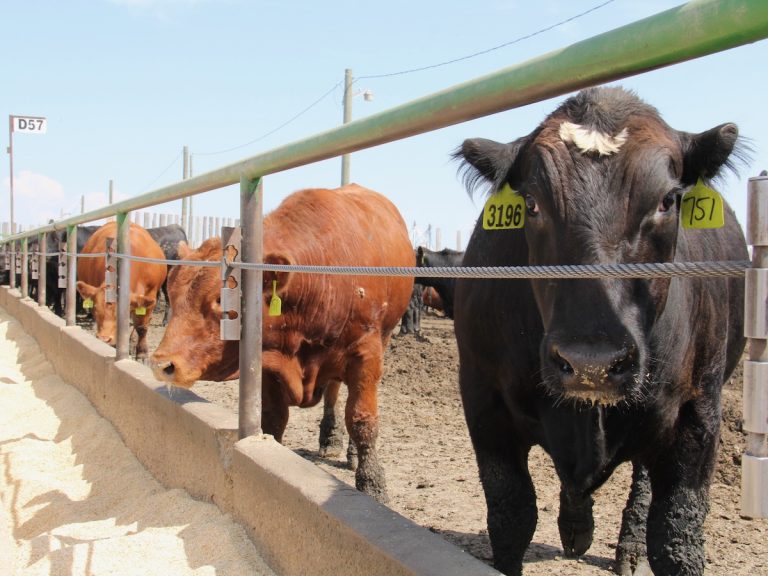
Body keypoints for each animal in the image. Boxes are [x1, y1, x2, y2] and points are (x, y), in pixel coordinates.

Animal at [75, 221, 167, 361]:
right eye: (95, 309)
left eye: (120, 314)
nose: (104, 339)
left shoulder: (150, 296)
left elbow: (142, 327)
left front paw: (142, 353)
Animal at [150, 184, 414, 503]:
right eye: (173, 294)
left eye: (221, 301)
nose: (162, 364)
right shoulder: (269, 362)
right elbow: (274, 418)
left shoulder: (366, 352)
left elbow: (362, 419)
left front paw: (372, 483)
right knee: (332, 394)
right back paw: (330, 437)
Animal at [452, 87, 747, 576]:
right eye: (531, 204)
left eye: (668, 201)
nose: (592, 362)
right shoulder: (483, 400)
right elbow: (511, 516)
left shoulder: (699, 411)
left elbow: (677, 536)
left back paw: (626, 546)